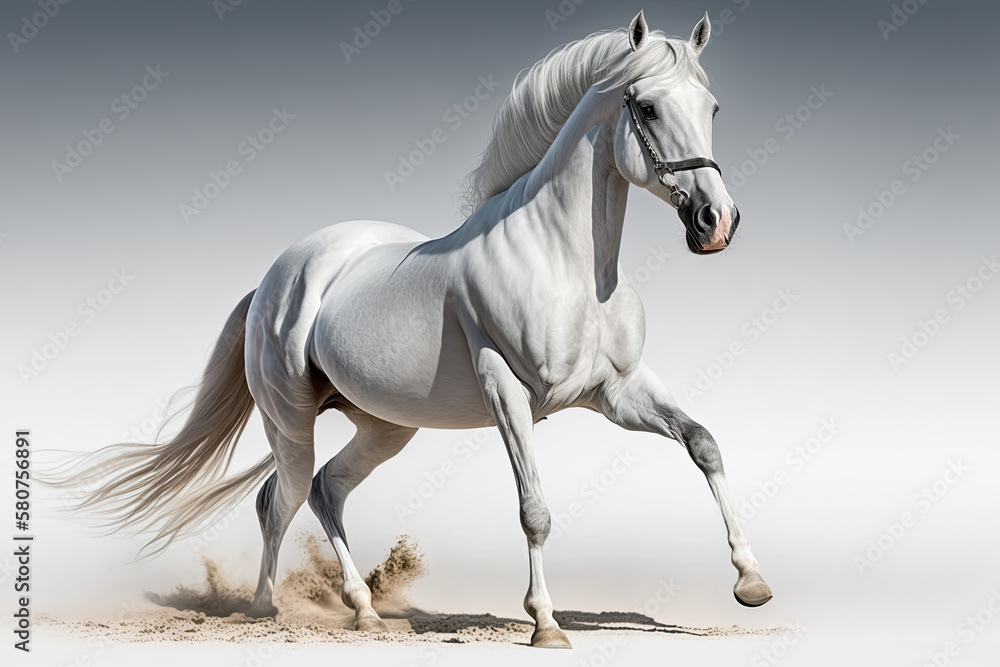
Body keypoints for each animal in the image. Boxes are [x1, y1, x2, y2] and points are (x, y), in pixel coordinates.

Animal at [54, 10, 771, 649]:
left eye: (711, 108)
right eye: (646, 108)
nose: (716, 222)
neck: (564, 262)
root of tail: (273, 280)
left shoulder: (615, 392)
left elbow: (704, 443)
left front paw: (751, 582)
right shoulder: (508, 389)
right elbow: (534, 509)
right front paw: (545, 624)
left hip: (384, 425)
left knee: (324, 489)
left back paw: (364, 612)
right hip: (291, 418)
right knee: (282, 496)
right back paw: (268, 609)